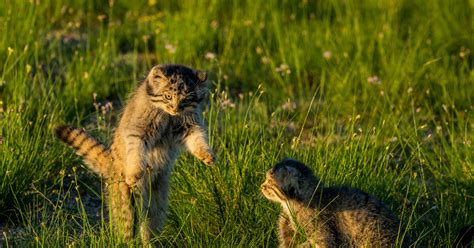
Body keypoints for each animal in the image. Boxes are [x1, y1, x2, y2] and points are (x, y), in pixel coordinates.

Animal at [55, 64, 217, 244]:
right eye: (168, 96)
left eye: (186, 100)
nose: (175, 109)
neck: (168, 116)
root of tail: (111, 162)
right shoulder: (138, 129)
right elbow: (135, 150)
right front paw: (134, 172)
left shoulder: (189, 124)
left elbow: (197, 138)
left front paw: (207, 155)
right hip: (125, 200)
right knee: (126, 228)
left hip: (158, 199)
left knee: (150, 223)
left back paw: (151, 243)